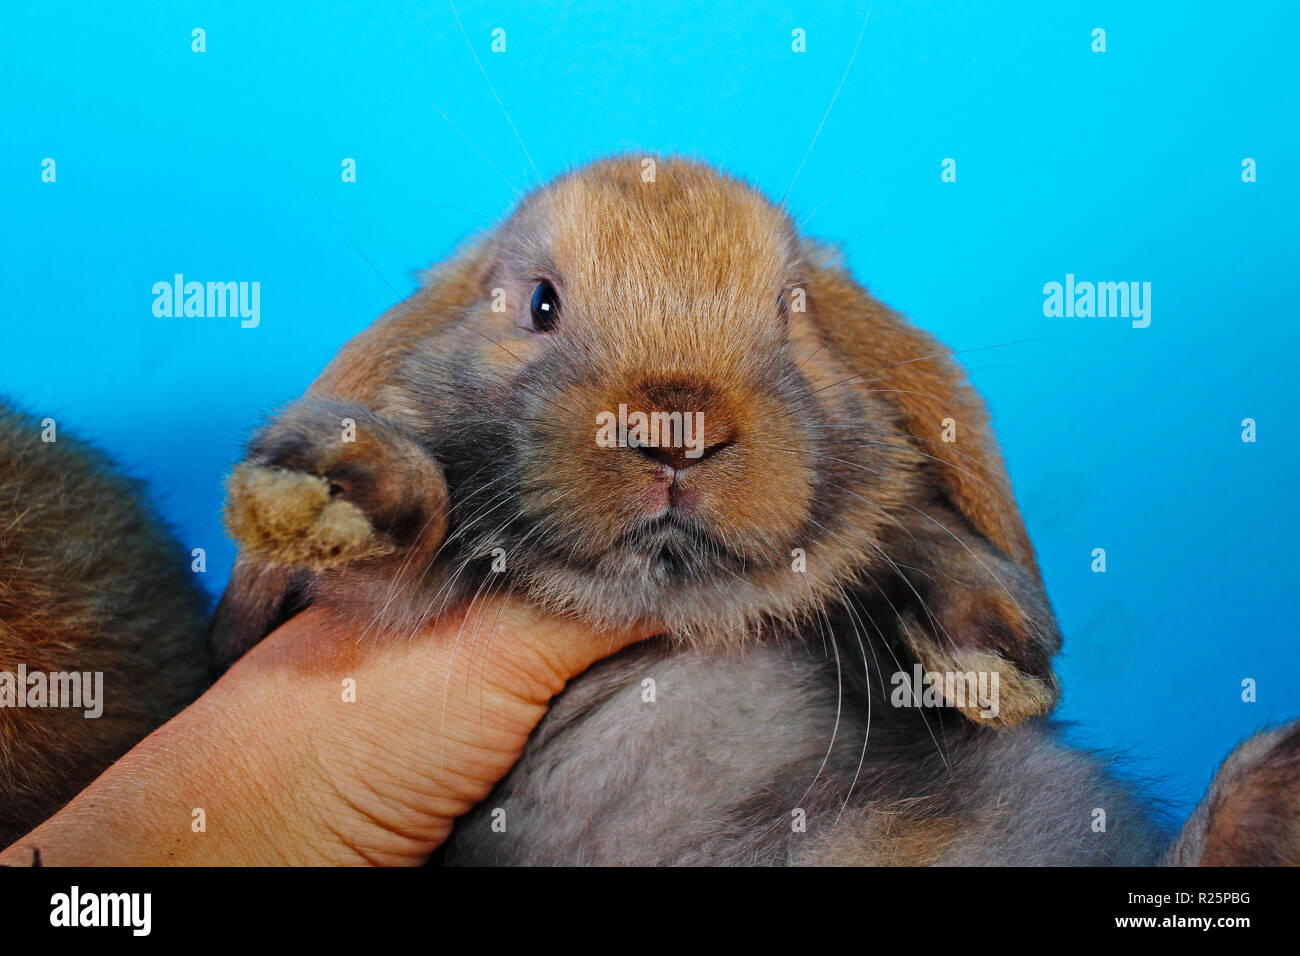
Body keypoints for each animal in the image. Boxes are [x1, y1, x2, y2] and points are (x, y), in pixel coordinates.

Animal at [210, 154, 1299, 865]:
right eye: (540, 304)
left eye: (792, 310)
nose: (675, 425)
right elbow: (400, 553)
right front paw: (334, 486)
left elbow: (902, 531)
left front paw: (990, 650)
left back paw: (1260, 799)